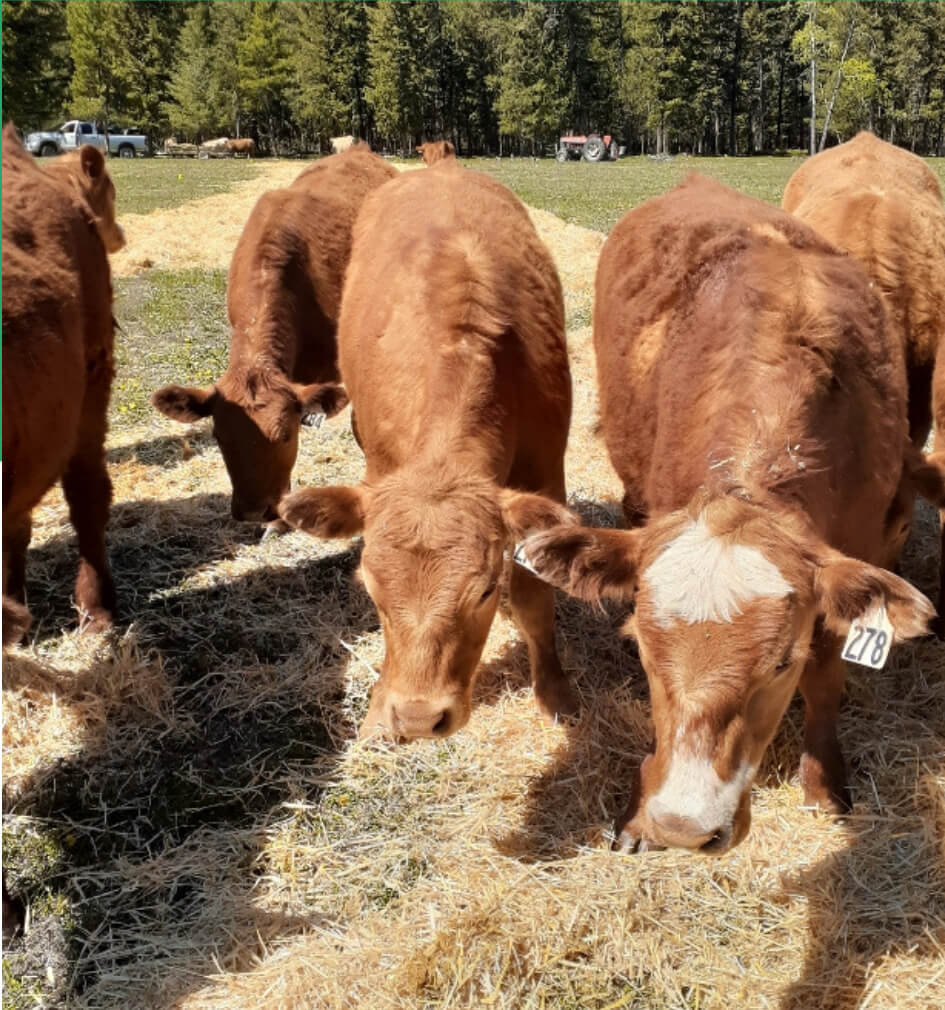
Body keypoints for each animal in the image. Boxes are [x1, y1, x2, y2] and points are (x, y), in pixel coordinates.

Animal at [277, 164, 578, 740]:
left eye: (484, 591)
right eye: (371, 589)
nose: (418, 717)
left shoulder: (546, 476)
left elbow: (535, 595)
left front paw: (555, 693)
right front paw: (377, 710)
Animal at [517, 175, 935, 854]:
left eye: (782, 662)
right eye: (641, 647)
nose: (683, 827)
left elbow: (826, 682)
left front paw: (823, 782)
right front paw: (638, 816)